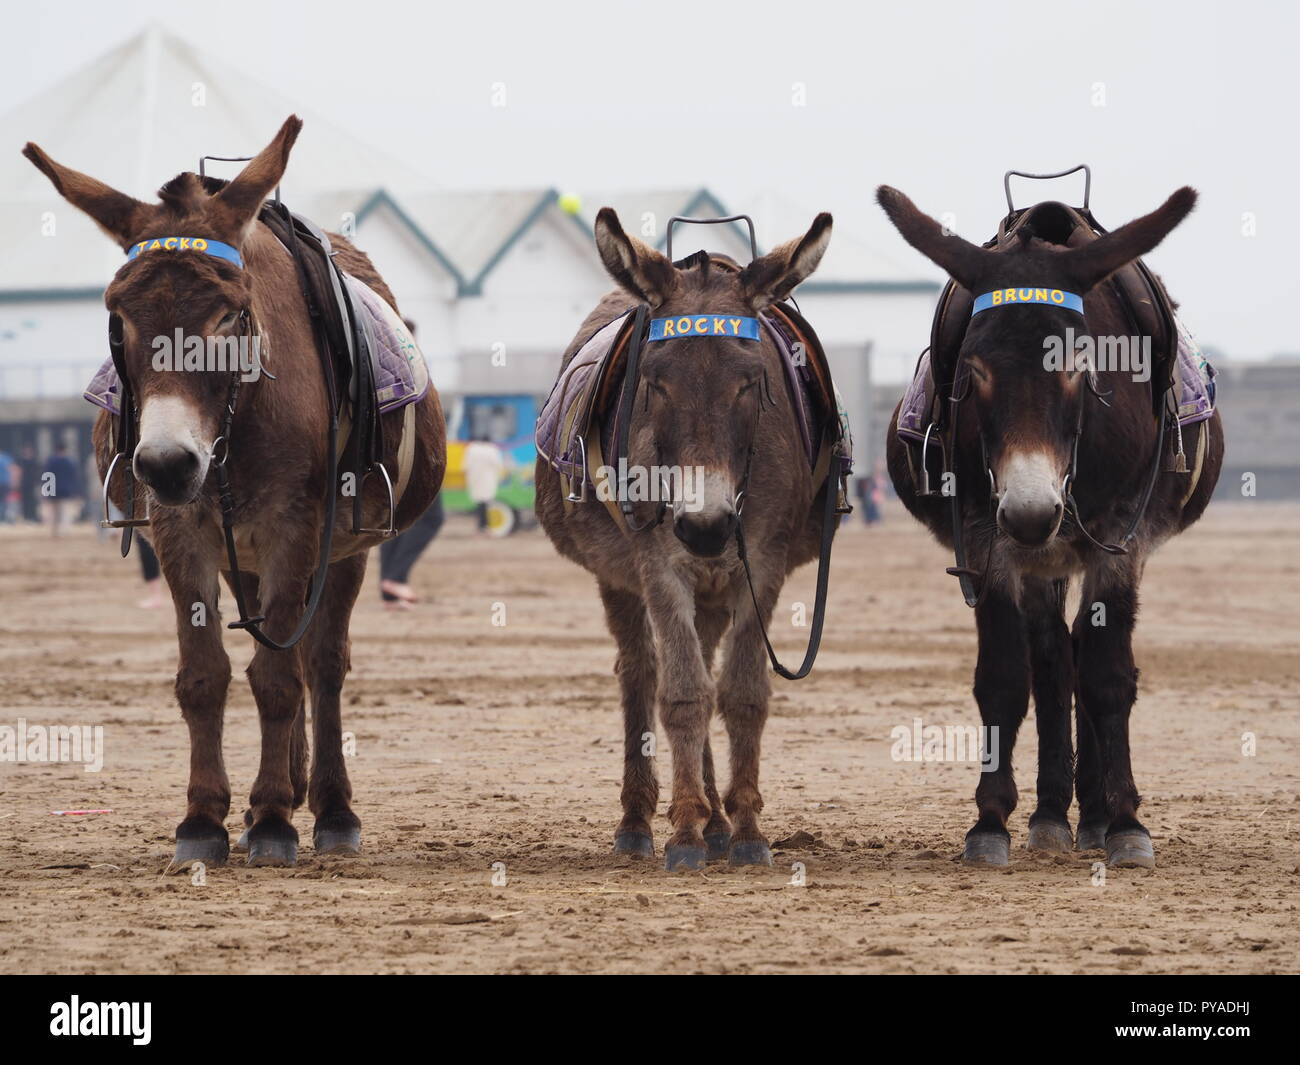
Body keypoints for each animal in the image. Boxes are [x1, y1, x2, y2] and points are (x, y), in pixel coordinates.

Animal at [23, 116, 446, 867]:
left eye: (229, 315)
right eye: (118, 316)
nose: (166, 462)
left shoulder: (294, 526)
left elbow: (278, 677)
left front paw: (276, 819)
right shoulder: (180, 531)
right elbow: (205, 674)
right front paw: (205, 819)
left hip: (344, 547)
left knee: (322, 663)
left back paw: (327, 808)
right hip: (240, 554)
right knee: (290, 648)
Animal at [536, 208, 842, 870]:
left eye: (752, 381)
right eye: (654, 382)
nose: (706, 526)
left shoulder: (762, 563)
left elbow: (743, 693)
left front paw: (746, 831)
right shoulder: (659, 561)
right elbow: (680, 694)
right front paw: (681, 834)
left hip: (716, 585)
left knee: (702, 661)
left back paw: (717, 821)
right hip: (623, 577)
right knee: (642, 673)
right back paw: (641, 822)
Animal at [877, 183, 1223, 868]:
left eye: (1079, 367)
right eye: (974, 370)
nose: (1032, 512)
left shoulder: (1119, 539)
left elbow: (1109, 677)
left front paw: (1126, 824)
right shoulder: (987, 538)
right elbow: (1005, 679)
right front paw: (990, 823)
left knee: (1084, 656)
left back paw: (1093, 816)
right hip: (1042, 559)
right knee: (1054, 660)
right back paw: (1052, 815)